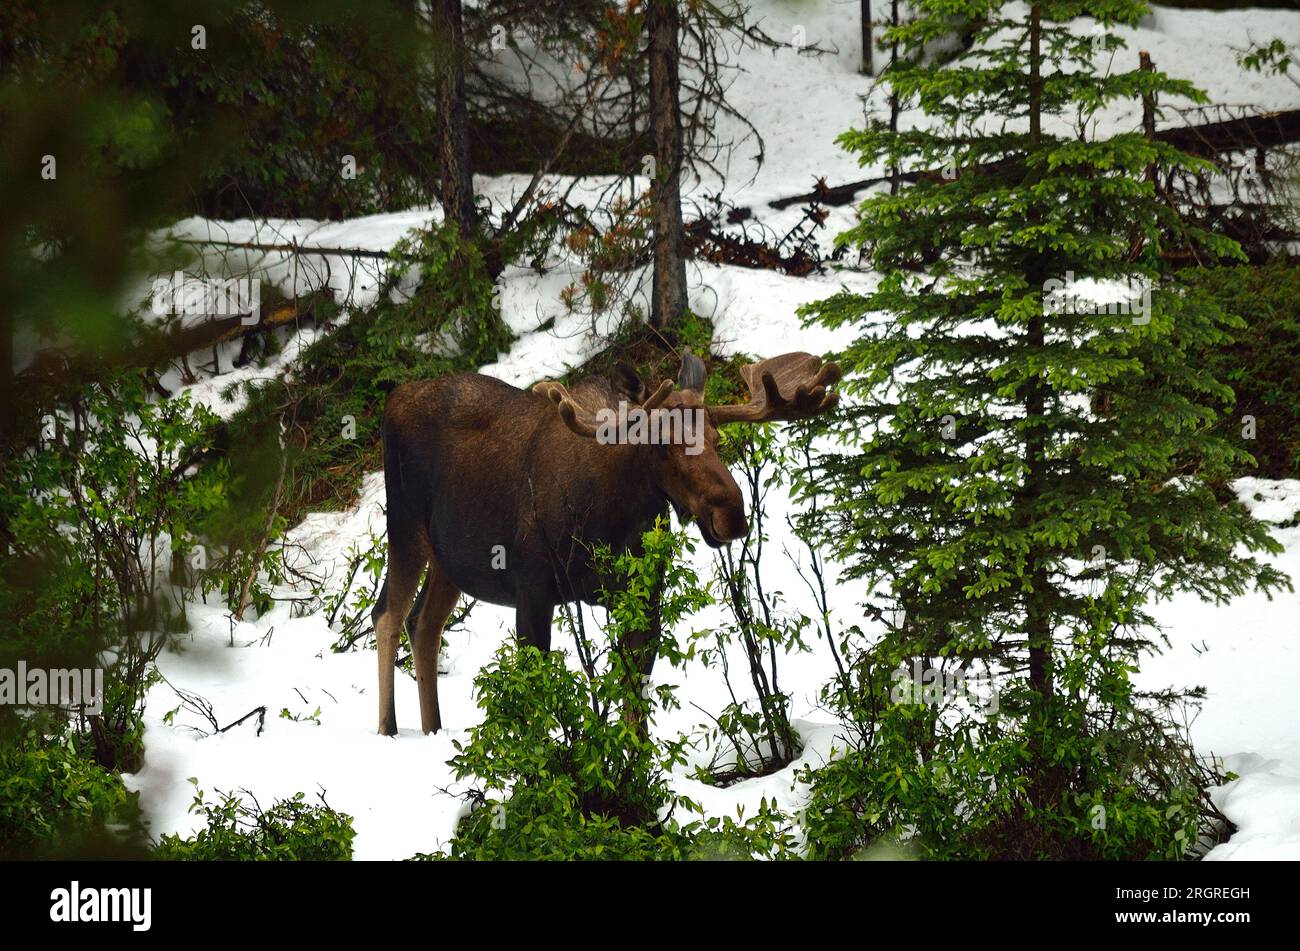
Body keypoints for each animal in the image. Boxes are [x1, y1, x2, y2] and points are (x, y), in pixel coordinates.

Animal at [370, 350, 841, 735]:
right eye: (663, 444)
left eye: (716, 438)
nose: (731, 513)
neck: (613, 523)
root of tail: (393, 399)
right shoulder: (533, 590)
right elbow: (538, 709)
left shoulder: (642, 597)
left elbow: (635, 707)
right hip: (405, 526)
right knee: (388, 615)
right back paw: (389, 729)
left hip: (449, 561)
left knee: (424, 624)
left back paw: (433, 729)